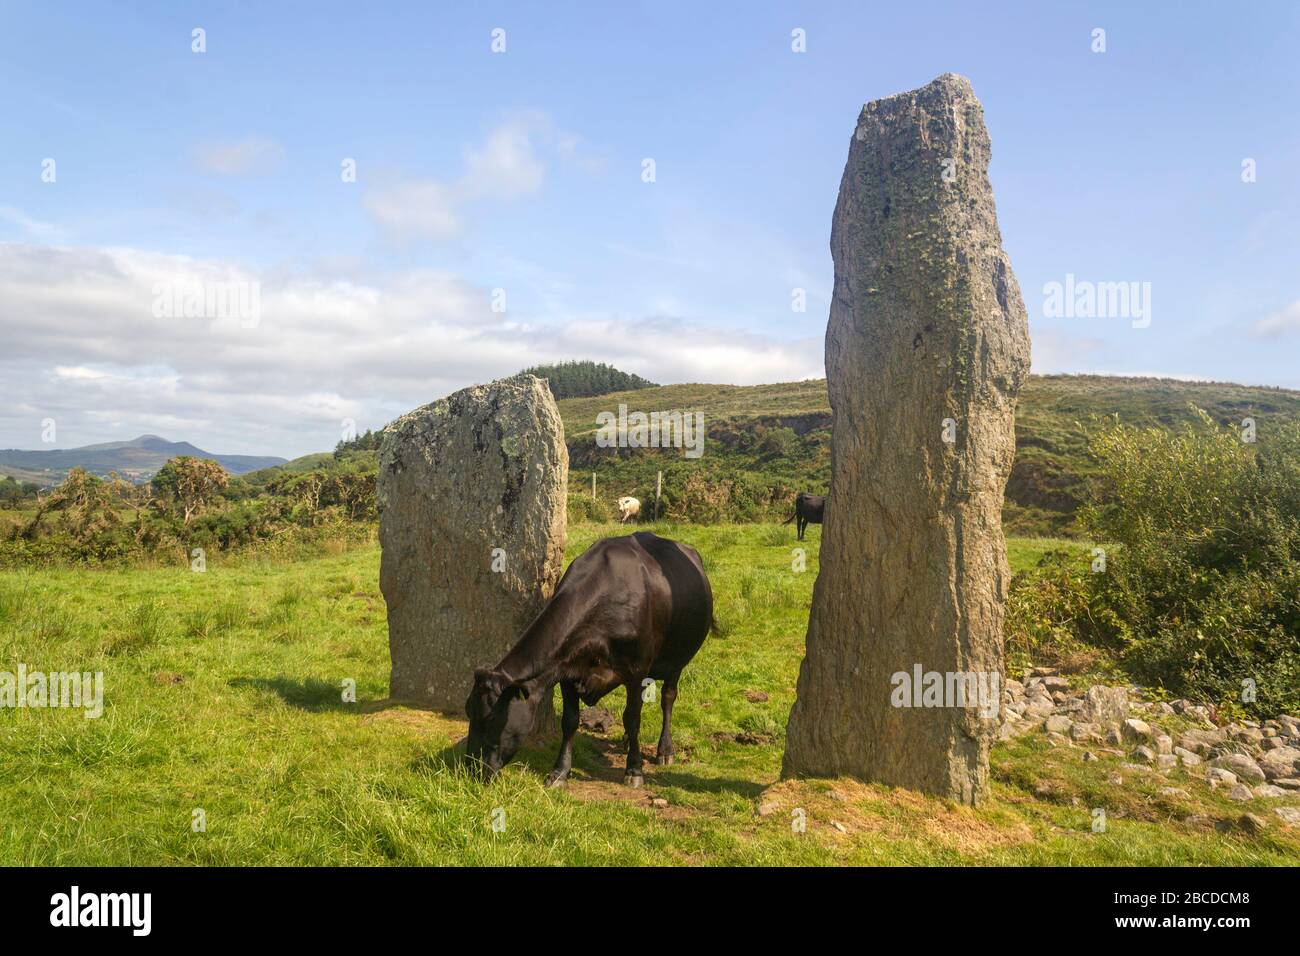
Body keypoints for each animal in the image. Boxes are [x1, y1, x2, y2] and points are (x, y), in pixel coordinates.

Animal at [464, 531, 713, 789]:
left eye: (491, 718)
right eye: (468, 711)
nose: (471, 767)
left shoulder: (636, 670)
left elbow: (632, 717)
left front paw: (634, 769)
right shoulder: (565, 671)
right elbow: (570, 721)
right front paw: (559, 772)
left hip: (678, 659)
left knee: (668, 698)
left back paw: (665, 749)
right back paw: (627, 741)